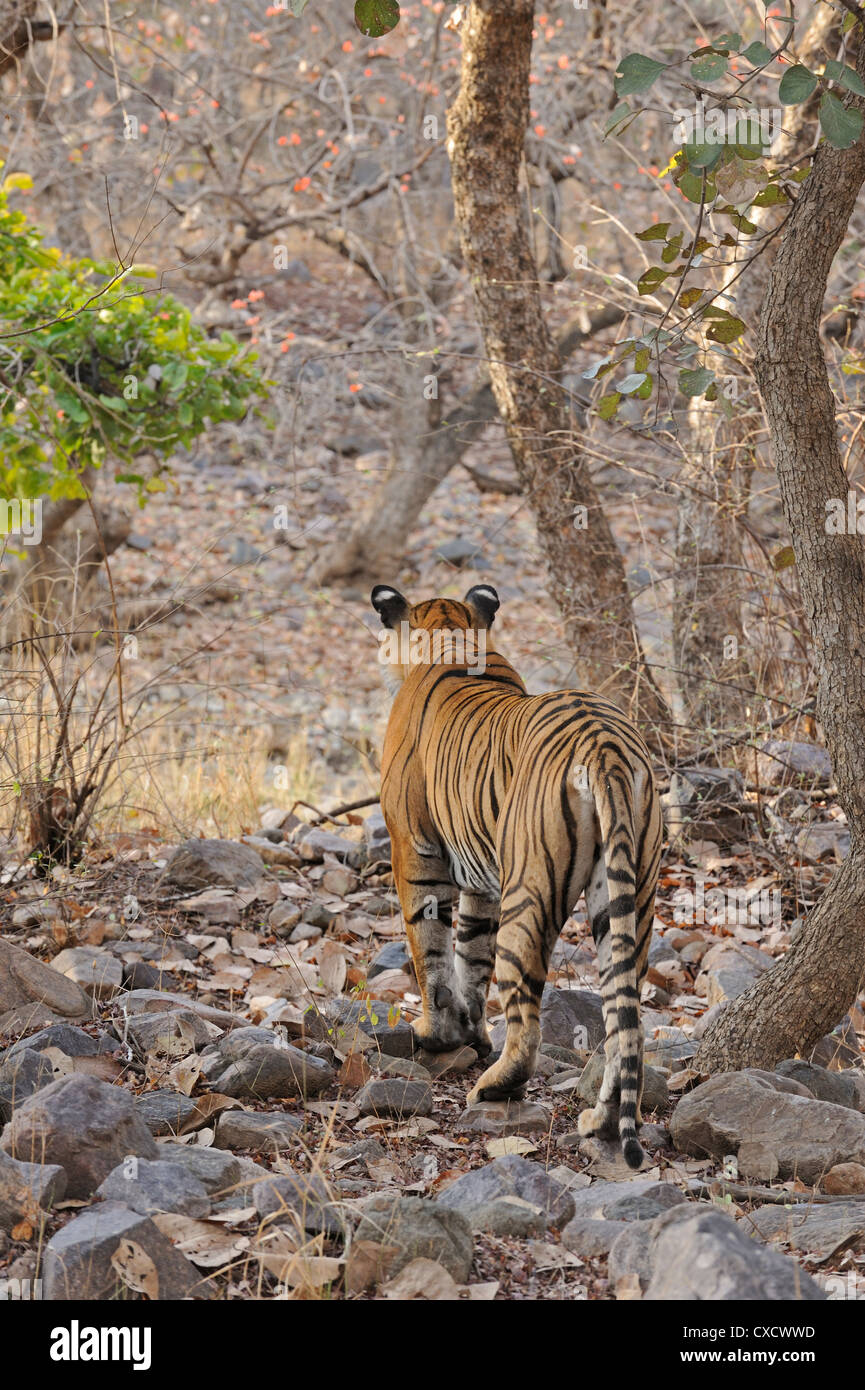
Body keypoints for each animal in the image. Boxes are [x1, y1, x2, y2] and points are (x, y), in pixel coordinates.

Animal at [371, 582, 663, 1168]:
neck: (451, 631)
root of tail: (604, 744)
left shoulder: (416, 851)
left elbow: (431, 951)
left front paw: (437, 1033)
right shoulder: (481, 876)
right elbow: (470, 954)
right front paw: (469, 1030)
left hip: (529, 893)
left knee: (527, 1018)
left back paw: (494, 1087)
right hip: (627, 899)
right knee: (625, 1020)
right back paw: (601, 1121)